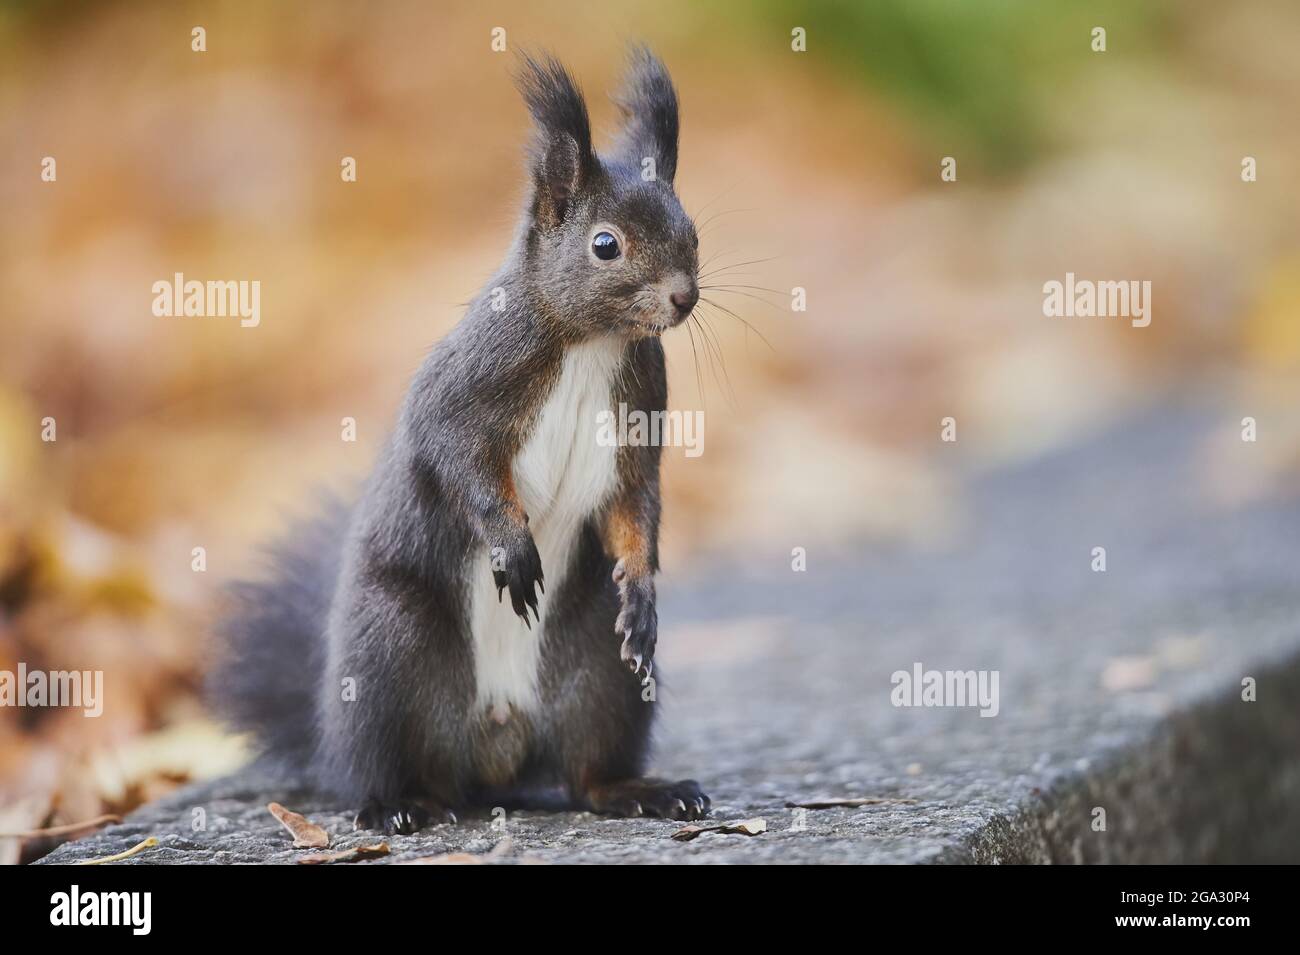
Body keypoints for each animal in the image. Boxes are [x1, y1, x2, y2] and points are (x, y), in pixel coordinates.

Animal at [209, 48, 710, 834]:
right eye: (606, 245)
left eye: (692, 231)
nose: (683, 296)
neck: (591, 340)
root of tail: (496, 747)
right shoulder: (467, 385)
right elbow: (458, 459)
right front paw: (512, 546)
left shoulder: (641, 415)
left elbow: (636, 507)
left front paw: (642, 593)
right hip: (390, 657)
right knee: (385, 764)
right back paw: (399, 805)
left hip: (601, 676)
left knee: (586, 771)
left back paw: (640, 789)